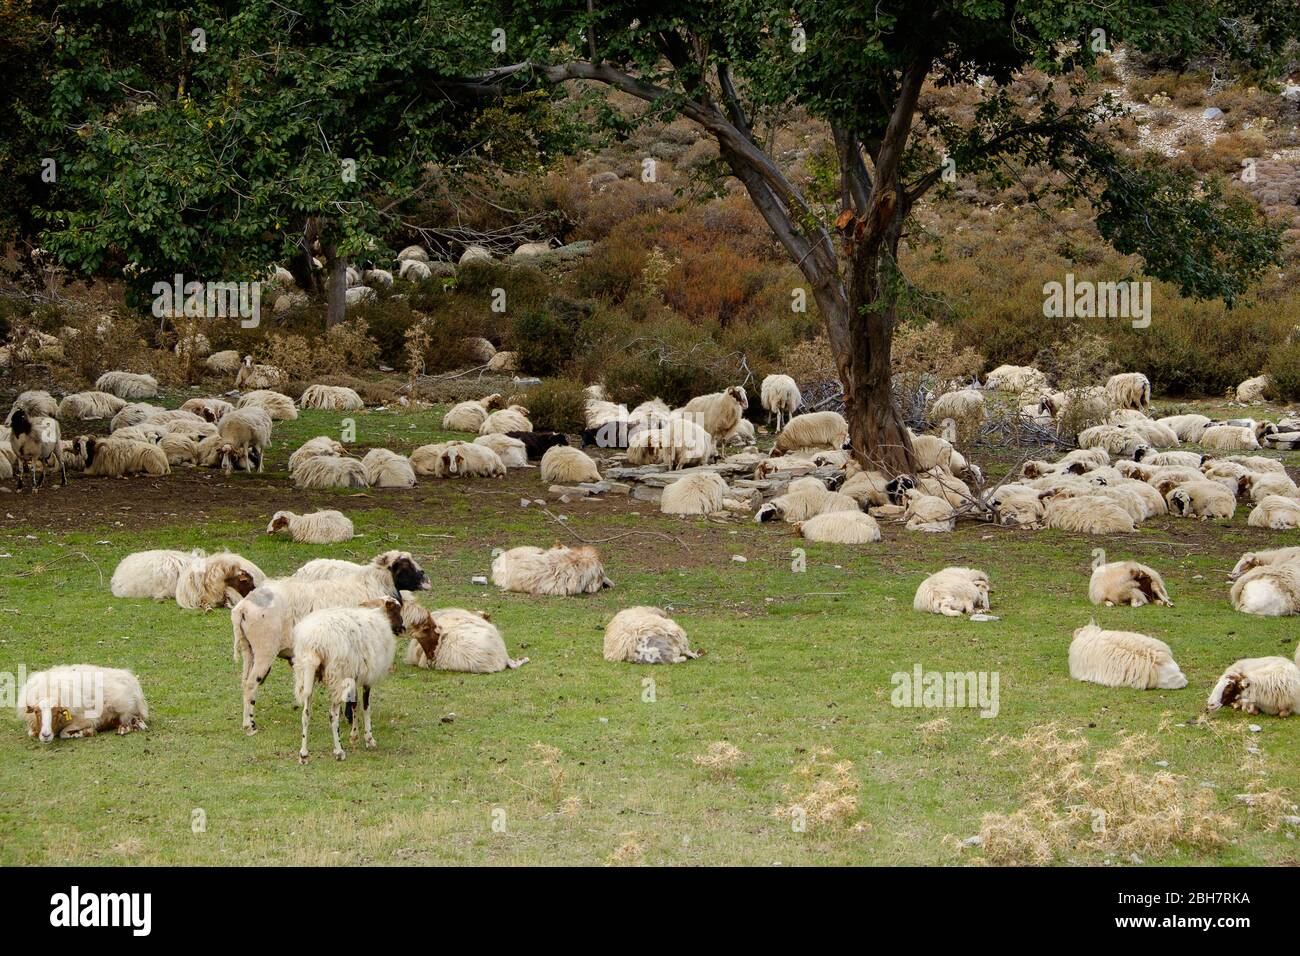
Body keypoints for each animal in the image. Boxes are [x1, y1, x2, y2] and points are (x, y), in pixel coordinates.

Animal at [20, 665, 149, 742]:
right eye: (37, 712)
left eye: (57, 713)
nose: (45, 735)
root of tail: (129, 676)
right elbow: (31, 733)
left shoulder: (86, 719)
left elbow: (63, 733)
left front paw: (87, 732)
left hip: (126, 709)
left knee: (134, 720)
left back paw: (127, 728)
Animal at [233, 551, 430, 732]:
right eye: (405, 566)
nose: (426, 578)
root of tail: (242, 608)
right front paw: (350, 718)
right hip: (264, 650)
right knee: (251, 684)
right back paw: (250, 725)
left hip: (249, 650)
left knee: (243, 682)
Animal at [291, 598, 406, 761]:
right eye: (396, 610)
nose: (403, 628)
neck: (379, 617)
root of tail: (315, 642)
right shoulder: (367, 677)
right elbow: (366, 706)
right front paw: (369, 739)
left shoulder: (354, 675)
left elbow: (354, 704)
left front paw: (354, 735)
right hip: (336, 676)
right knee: (332, 716)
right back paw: (339, 751)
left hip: (306, 674)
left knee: (306, 714)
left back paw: (303, 754)